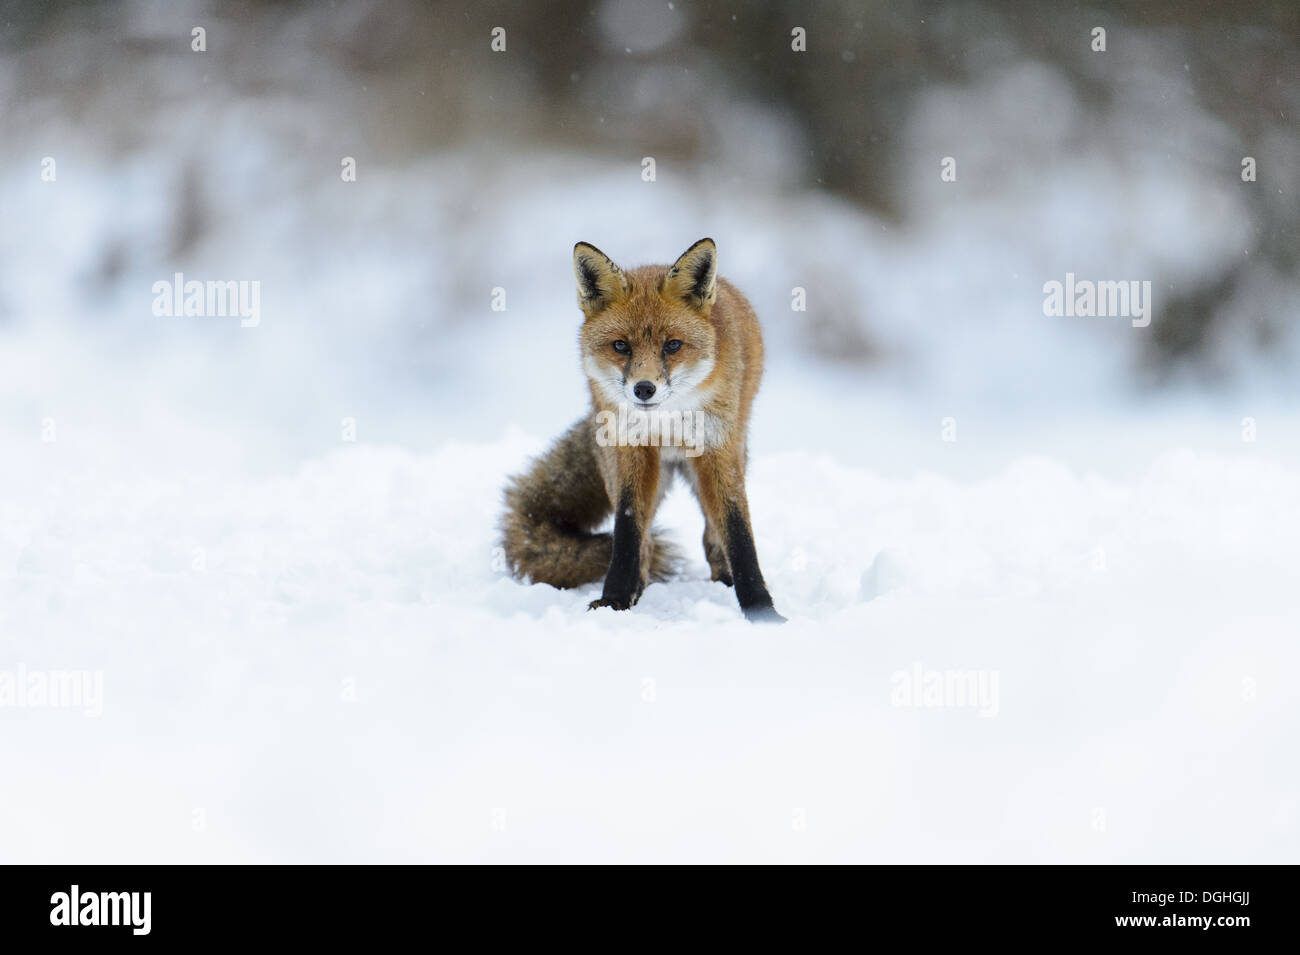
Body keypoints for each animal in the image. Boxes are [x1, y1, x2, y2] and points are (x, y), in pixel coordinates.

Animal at [502, 238, 785, 623]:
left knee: (711, 535)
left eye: (672, 345)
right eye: (621, 346)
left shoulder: (717, 449)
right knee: (647, 543)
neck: (667, 422)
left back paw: (723, 581)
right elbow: (627, 532)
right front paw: (614, 600)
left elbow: (738, 534)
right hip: (628, 468)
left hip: (723, 458)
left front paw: (762, 611)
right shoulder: (632, 453)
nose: (644, 389)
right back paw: (638, 591)